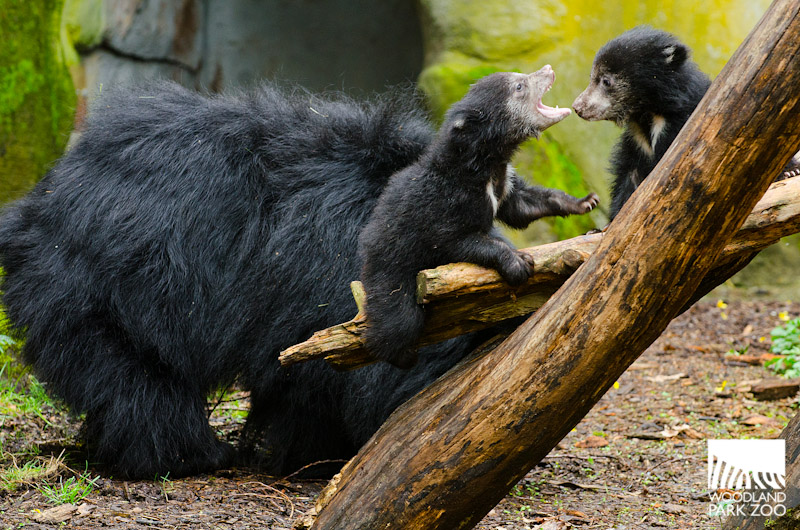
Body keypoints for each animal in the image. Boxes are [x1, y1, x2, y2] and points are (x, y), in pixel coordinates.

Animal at [0, 81, 503, 478]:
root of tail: (38, 205)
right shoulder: (315, 274)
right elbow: (316, 371)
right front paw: (318, 454)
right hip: (102, 287)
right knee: (135, 376)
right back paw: (190, 455)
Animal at [359, 67, 599, 369]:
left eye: (519, 76)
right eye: (519, 86)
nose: (548, 69)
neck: (486, 165)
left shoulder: (503, 184)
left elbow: (523, 206)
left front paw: (584, 202)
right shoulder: (448, 204)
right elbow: (458, 241)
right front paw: (519, 263)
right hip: (390, 266)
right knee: (398, 318)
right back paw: (402, 355)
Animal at [572, 26, 800, 222]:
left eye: (606, 81)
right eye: (593, 77)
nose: (577, 107)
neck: (647, 113)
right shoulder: (636, 142)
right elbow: (628, 176)